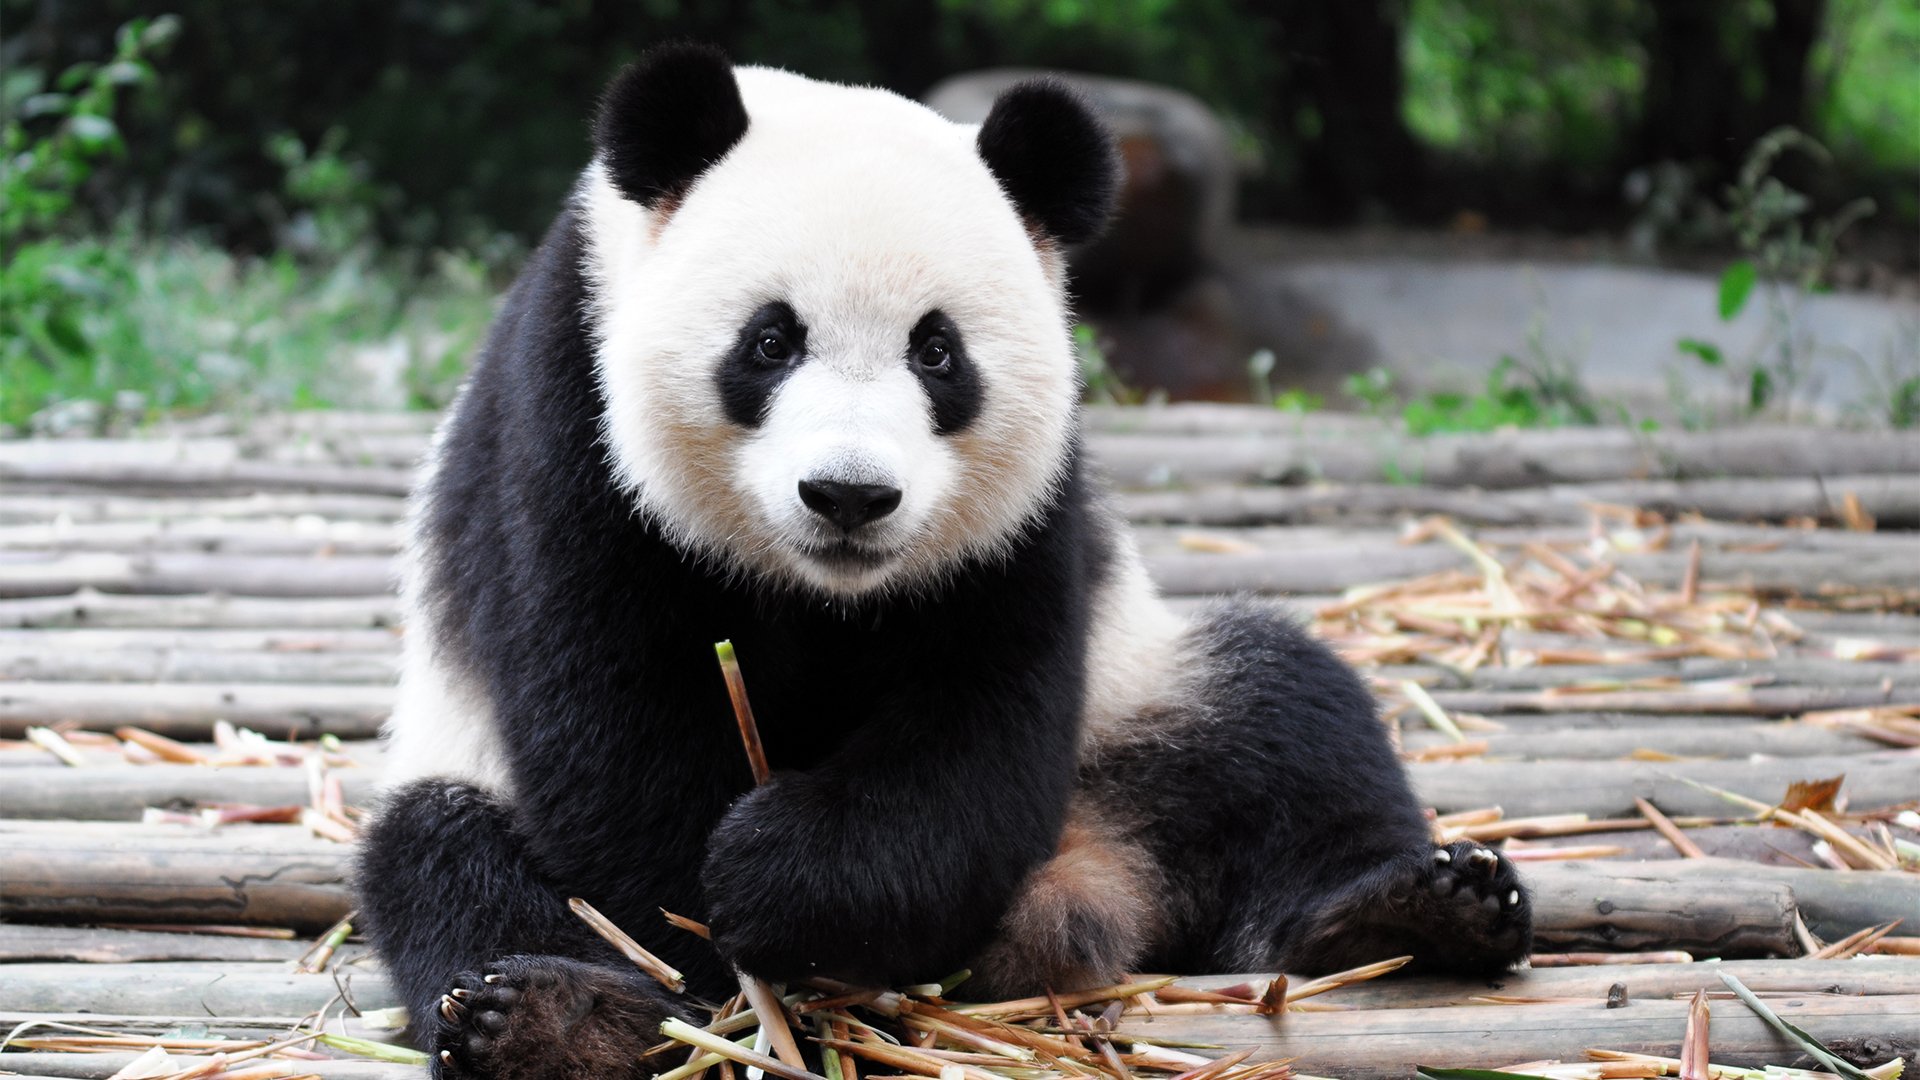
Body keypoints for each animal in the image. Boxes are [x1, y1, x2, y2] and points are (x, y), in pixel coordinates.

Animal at [356, 43, 1532, 1080]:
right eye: (770, 341)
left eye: (937, 351)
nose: (849, 496)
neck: (821, 590)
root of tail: (1098, 882)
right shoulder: (568, 425)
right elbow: (614, 721)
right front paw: (718, 962)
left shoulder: (1027, 518)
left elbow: (981, 725)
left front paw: (780, 882)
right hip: (455, 754)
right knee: (443, 862)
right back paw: (553, 1021)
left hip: (1139, 702)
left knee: (1282, 718)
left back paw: (1417, 908)